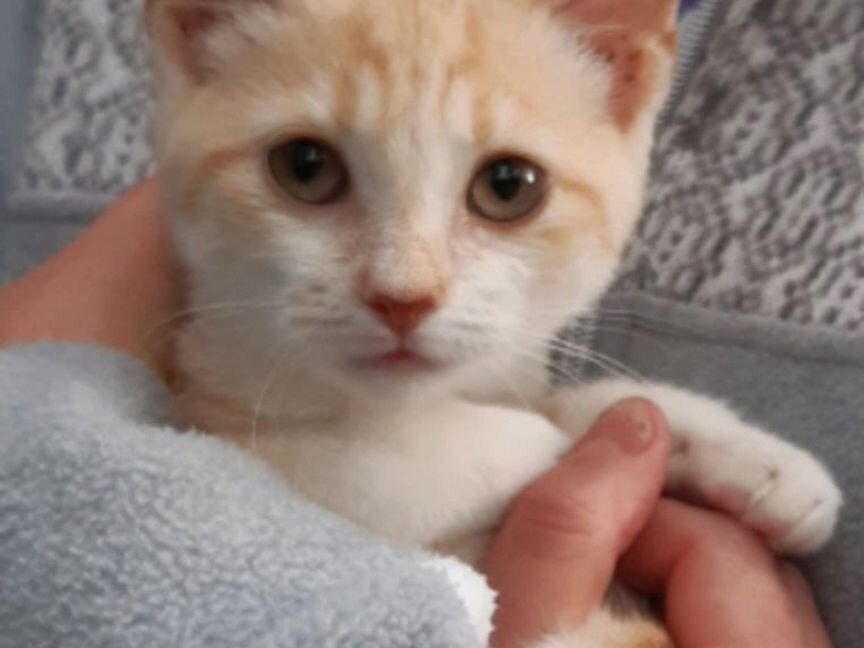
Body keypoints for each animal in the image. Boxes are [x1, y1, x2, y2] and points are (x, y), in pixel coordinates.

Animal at [145, 0, 842, 645]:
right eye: (305, 167)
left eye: (509, 186)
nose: (403, 297)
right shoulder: (214, 427)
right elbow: (376, 468)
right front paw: (551, 445)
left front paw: (749, 457)